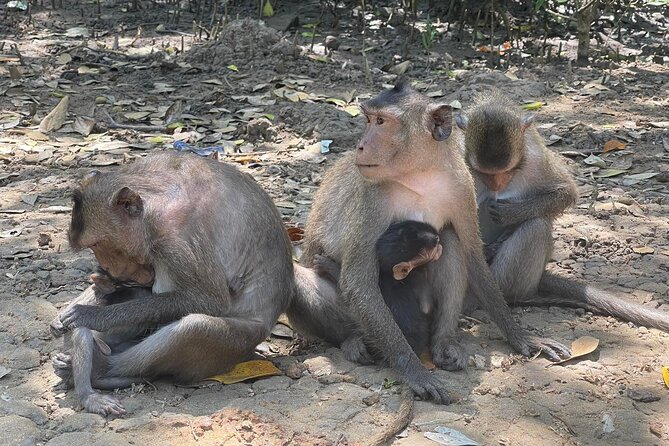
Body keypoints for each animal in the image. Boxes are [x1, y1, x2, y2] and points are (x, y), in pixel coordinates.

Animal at [53, 152, 294, 394]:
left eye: (98, 244)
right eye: (92, 247)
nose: (108, 266)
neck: (153, 208)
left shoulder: (176, 241)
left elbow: (211, 301)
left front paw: (91, 314)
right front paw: (97, 290)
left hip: (240, 343)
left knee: (193, 328)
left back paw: (101, 368)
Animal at [287, 81, 571, 405]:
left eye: (381, 122)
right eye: (369, 119)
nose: (360, 145)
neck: (420, 174)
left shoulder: (462, 186)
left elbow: (472, 256)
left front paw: (521, 336)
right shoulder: (373, 197)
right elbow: (357, 281)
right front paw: (414, 371)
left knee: (448, 239)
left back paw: (443, 342)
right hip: (350, 317)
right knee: (303, 283)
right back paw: (354, 340)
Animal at [455, 90, 669, 332]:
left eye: (507, 171)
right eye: (484, 173)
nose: (496, 185)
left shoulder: (537, 159)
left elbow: (566, 192)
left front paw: (511, 213)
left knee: (536, 226)